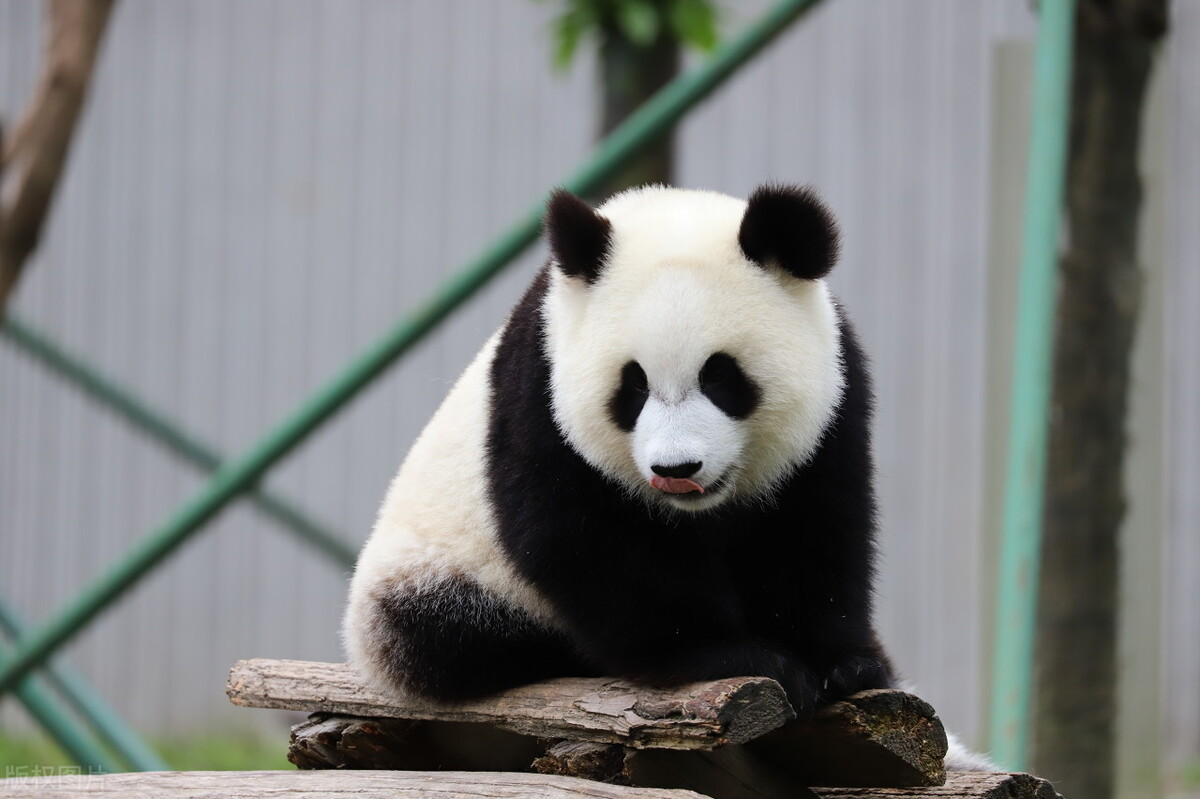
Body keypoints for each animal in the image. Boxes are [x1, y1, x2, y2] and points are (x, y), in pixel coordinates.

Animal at [344, 184, 988, 768]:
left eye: (722, 377)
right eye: (632, 386)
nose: (676, 469)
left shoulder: (837, 401)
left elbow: (816, 527)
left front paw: (843, 662)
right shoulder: (541, 398)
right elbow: (590, 544)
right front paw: (746, 658)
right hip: (429, 577)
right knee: (443, 637)